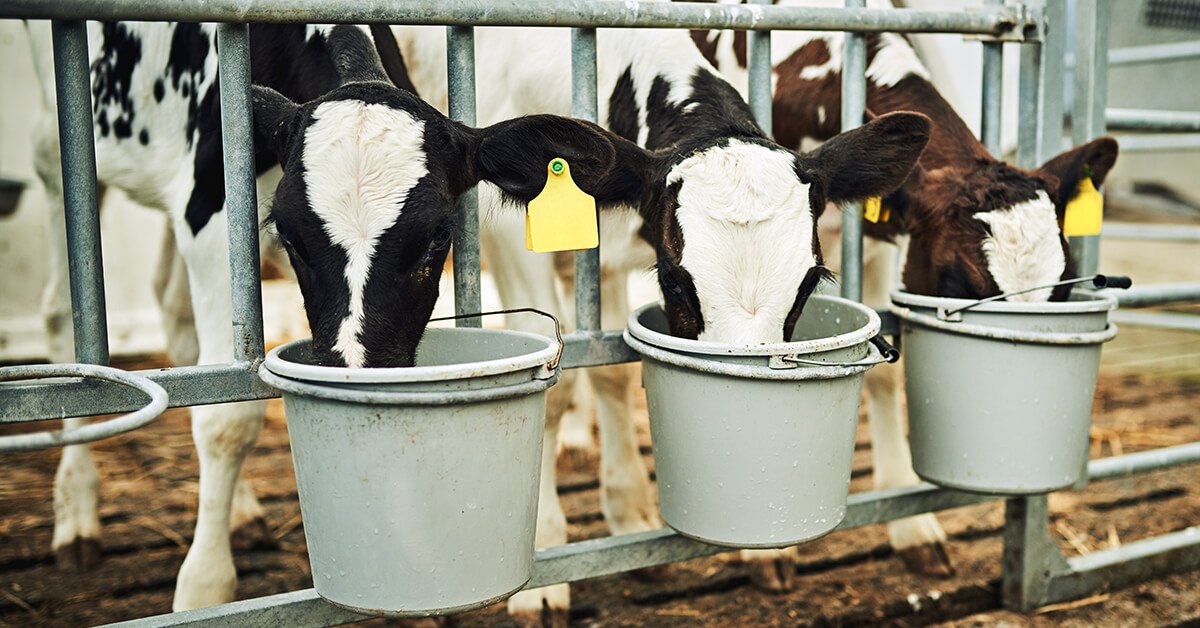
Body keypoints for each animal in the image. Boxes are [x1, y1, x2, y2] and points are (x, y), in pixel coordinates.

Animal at [393, 23, 932, 625]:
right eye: (674, 283)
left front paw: (641, 519)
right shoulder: (511, 240)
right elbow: (553, 387)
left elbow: (608, 372)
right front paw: (540, 578)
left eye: (810, 283)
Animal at [685, 0, 1119, 586]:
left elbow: (885, 372)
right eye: (957, 282)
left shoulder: (872, 244)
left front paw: (912, 529)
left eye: (1061, 285)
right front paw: (760, 551)